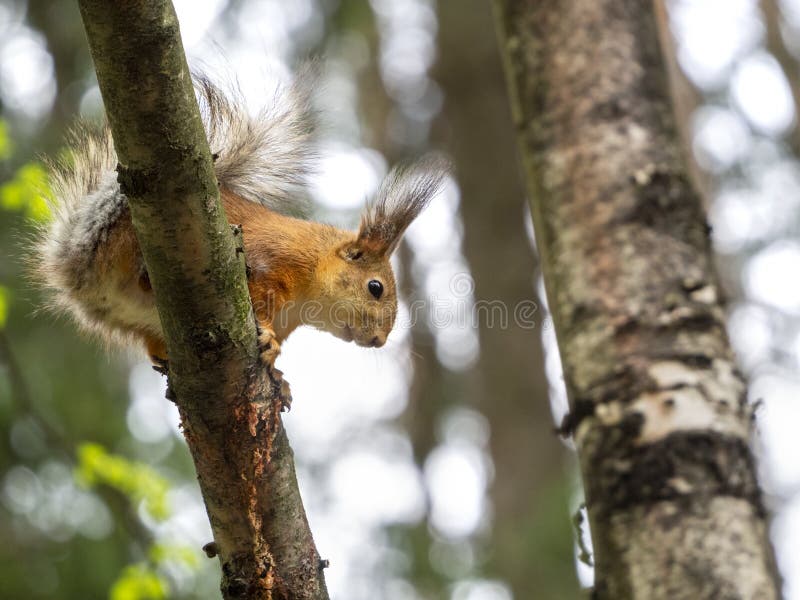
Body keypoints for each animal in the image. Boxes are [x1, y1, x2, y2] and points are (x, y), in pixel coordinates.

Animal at [34, 74, 448, 375]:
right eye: (376, 288)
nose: (378, 340)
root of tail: (83, 268)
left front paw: (280, 378)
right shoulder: (270, 264)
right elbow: (260, 301)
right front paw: (270, 342)